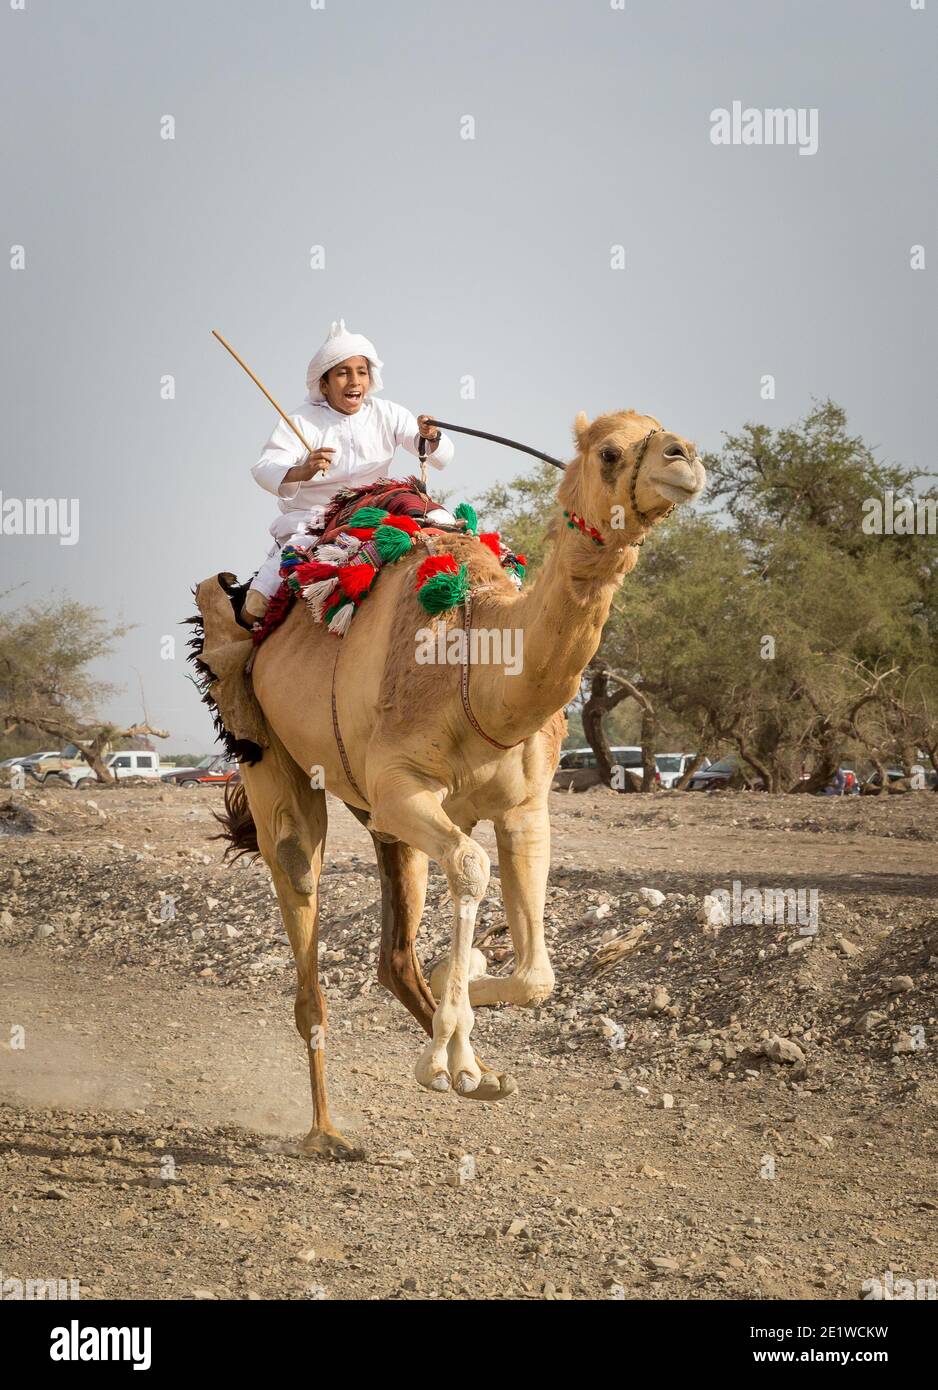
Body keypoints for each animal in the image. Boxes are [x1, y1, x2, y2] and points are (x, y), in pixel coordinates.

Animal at [220, 409, 705, 1158]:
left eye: (663, 430)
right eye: (609, 451)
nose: (685, 459)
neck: (477, 663)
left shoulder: (523, 807)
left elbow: (537, 977)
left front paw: (467, 1019)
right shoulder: (402, 786)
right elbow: (475, 871)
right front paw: (446, 1049)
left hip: (381, 817)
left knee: (396, 950)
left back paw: (471, 1066)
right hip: (272, 756)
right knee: (301, 891)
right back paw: (328, 1131)